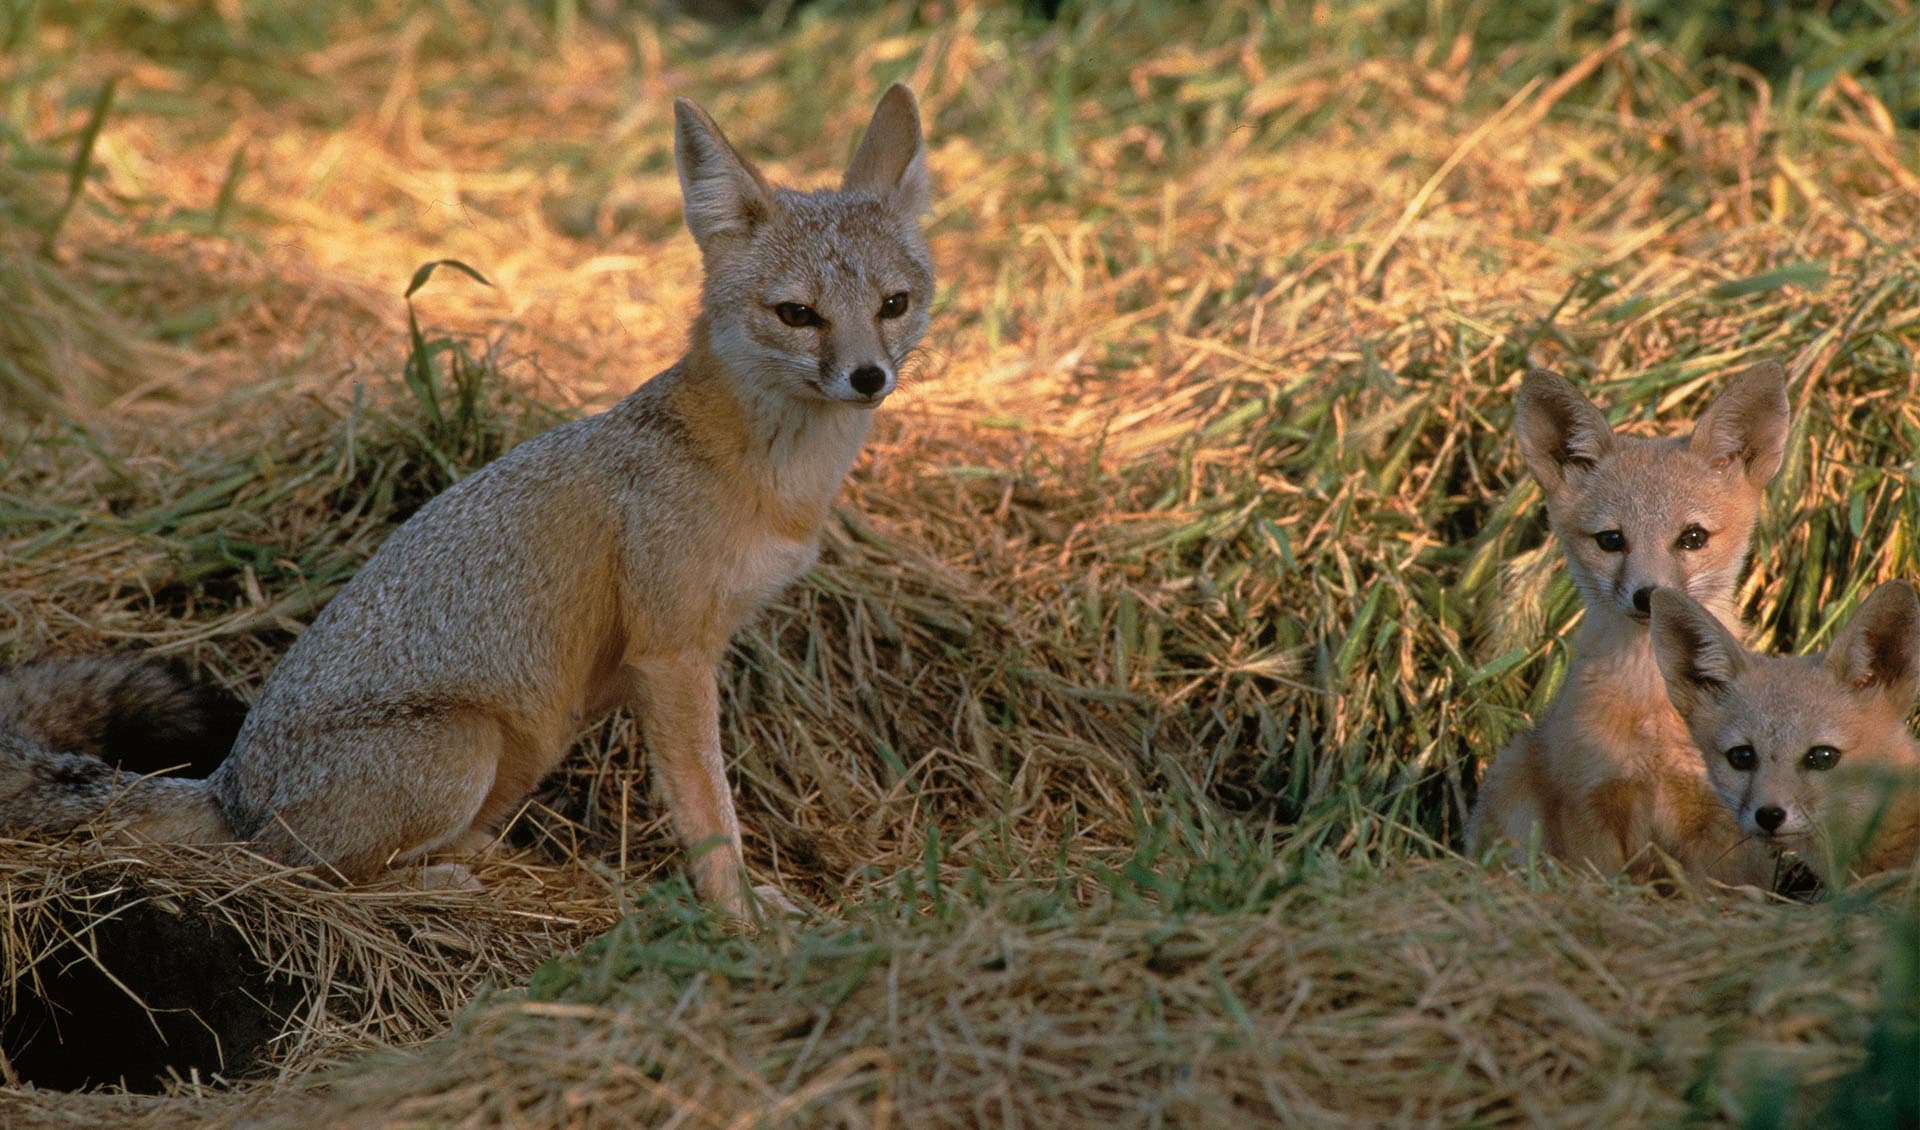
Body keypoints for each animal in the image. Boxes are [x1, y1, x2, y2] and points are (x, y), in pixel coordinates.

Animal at [0, 84, 934, 918]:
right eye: (798, 314)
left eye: (893, 305)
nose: (868, 378)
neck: (768, 475)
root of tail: (231, 787)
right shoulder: (670, 658)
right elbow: (711, 816)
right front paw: (738, 920)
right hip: (464, 749)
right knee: (295, 873)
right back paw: (435, 884)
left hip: (521, 749)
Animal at [1465, 361, 1790, 888]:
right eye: (1611, 540)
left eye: (1692, 537)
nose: (1648, 595)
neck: (1652, 710)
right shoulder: (1590, 805)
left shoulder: (1719, 824)